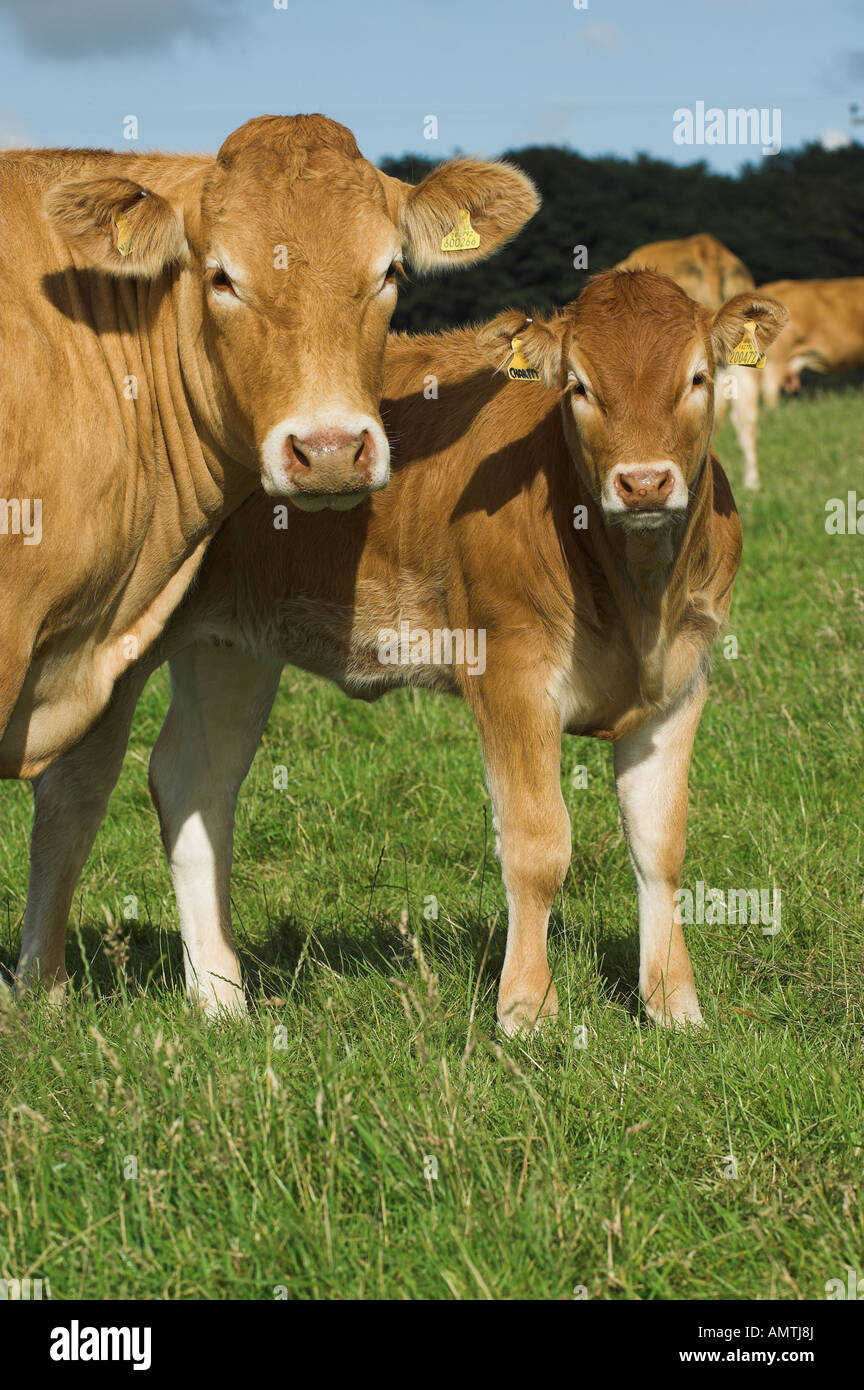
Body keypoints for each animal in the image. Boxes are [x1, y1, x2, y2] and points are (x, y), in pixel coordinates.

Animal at [13, 270, 789, 1031]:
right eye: (578, 386)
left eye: (698, 377)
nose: (644, 482)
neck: (635, 592)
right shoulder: (509, 671)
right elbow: (537, 846)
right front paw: (528, 1012)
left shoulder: (678, 685)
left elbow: (661, 846)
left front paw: (675, 1007)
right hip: (104, 652)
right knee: (71, 796)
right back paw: (42, 988)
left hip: (230, 643)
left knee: (192, 784)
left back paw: (220, 998)